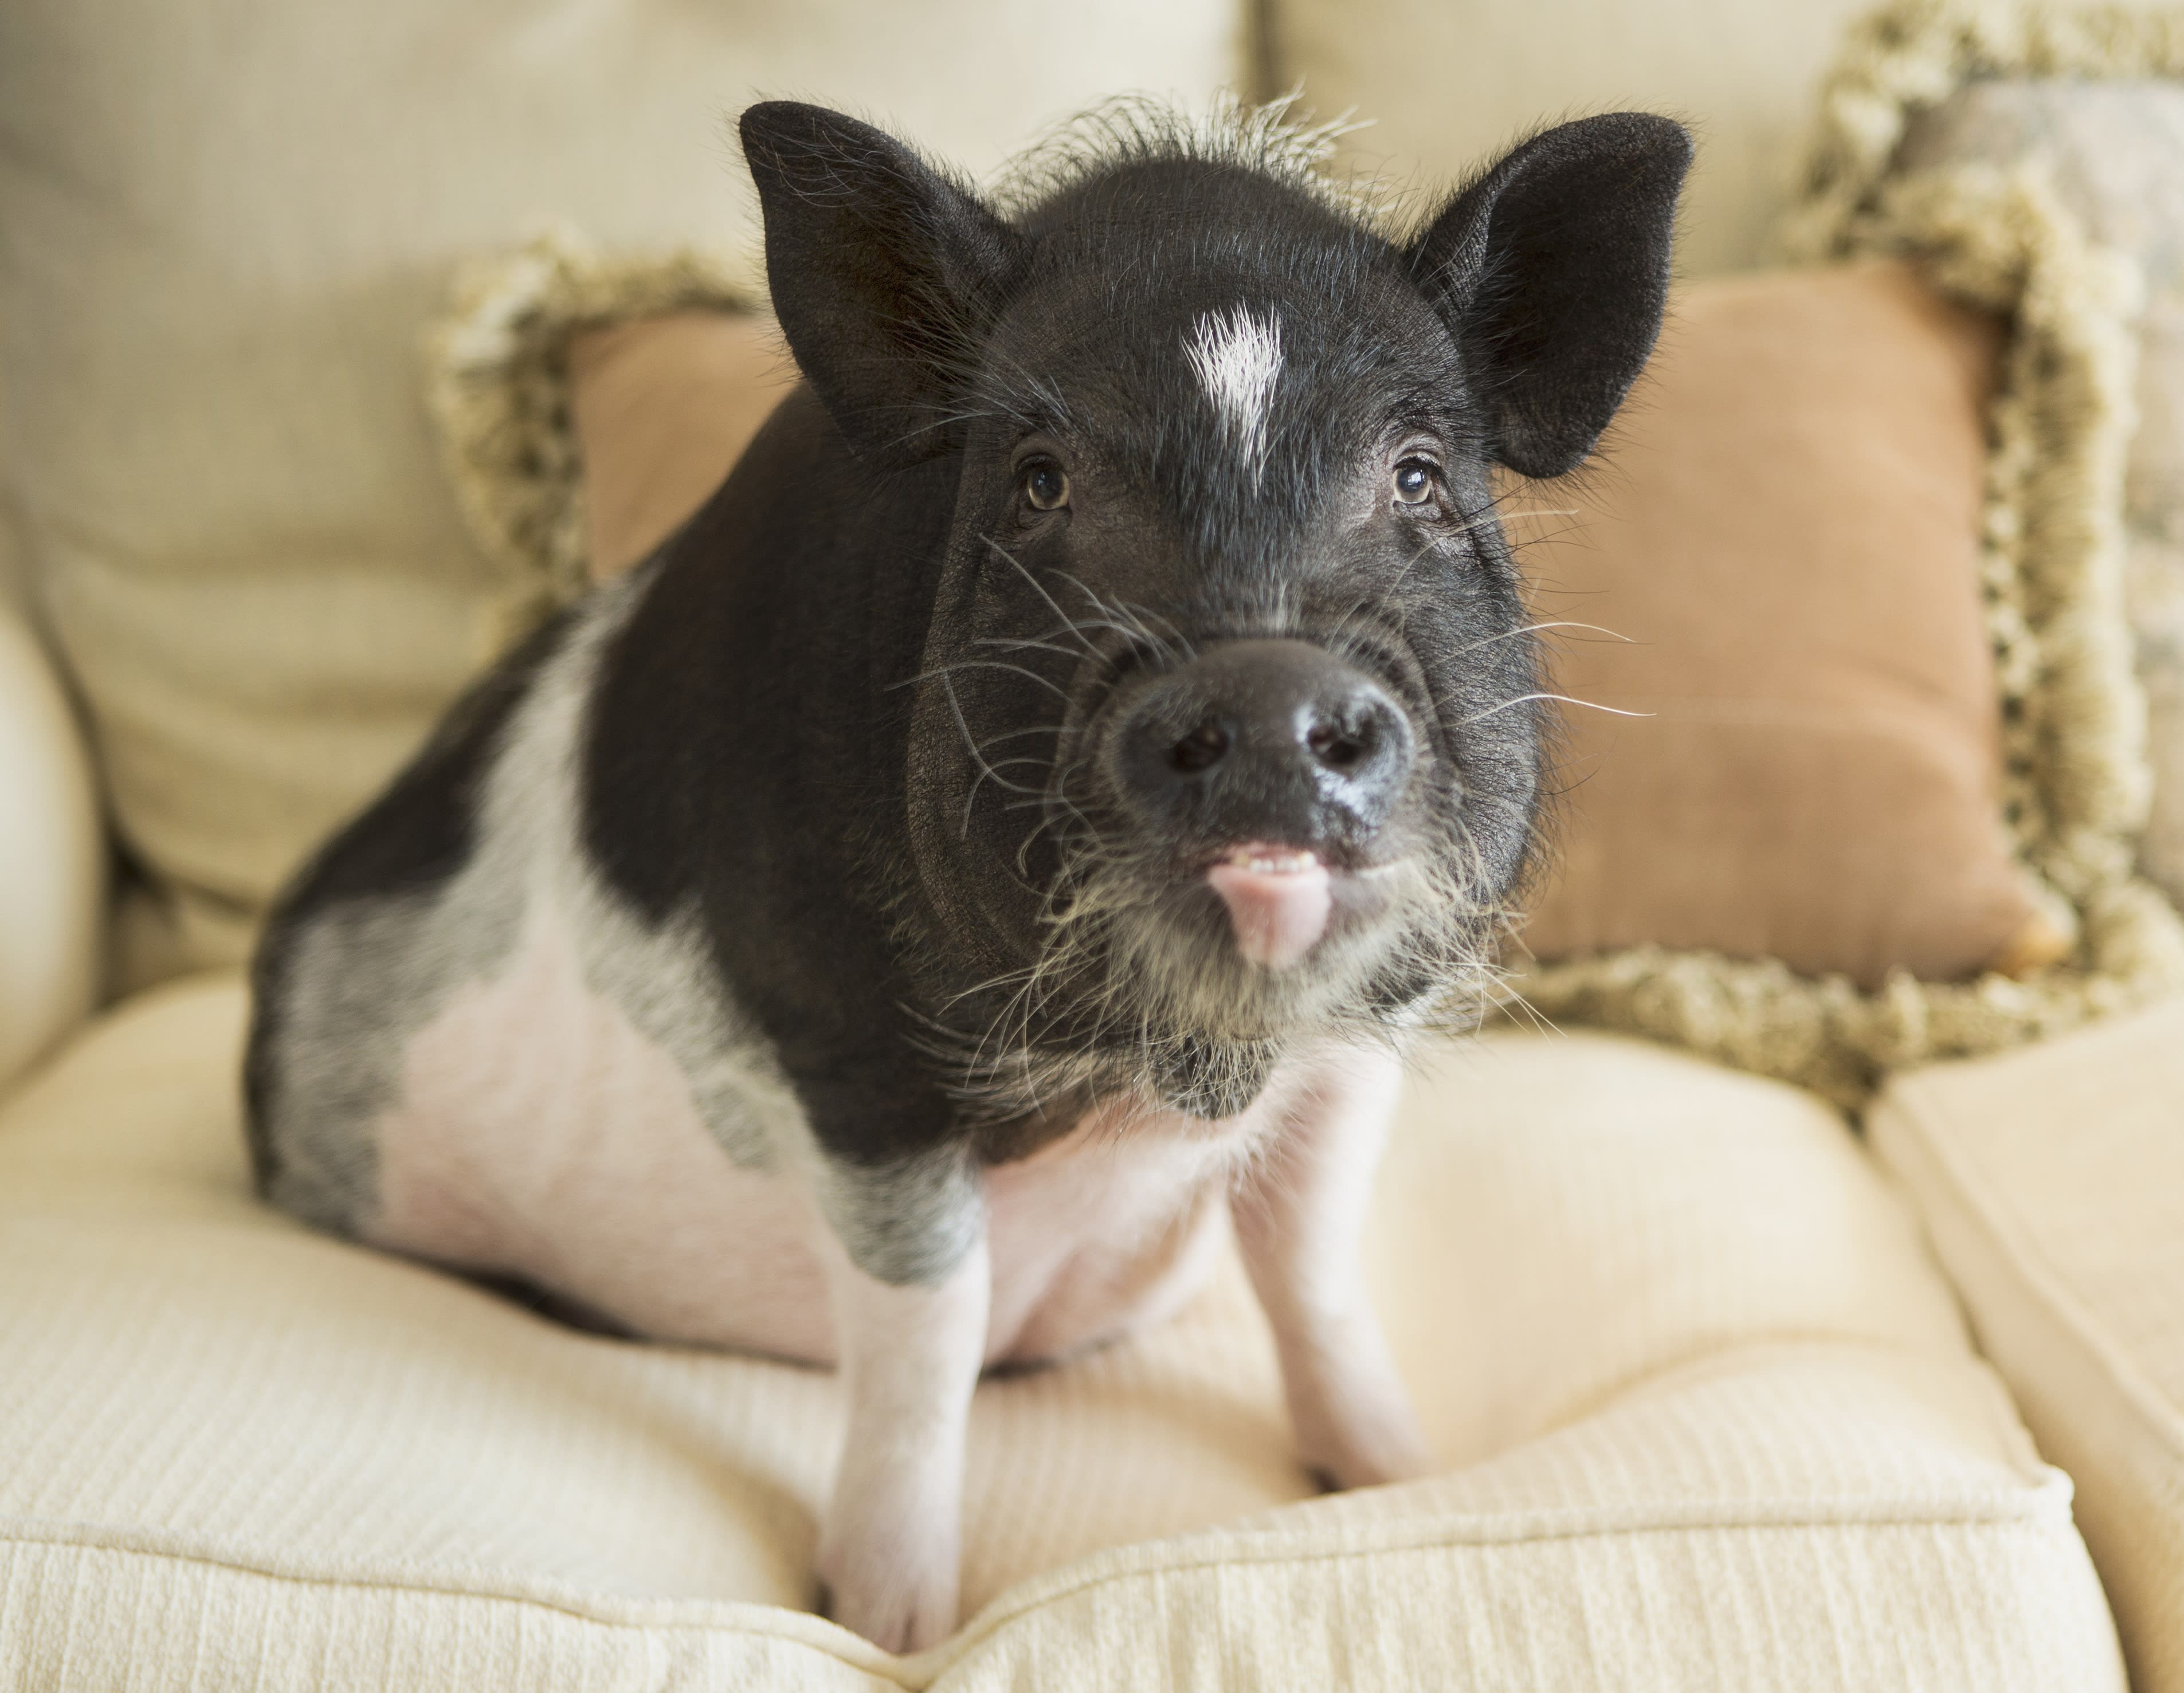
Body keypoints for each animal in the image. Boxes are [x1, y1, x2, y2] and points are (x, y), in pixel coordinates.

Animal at [244, 96, 1688, 1651]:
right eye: (1038, 479)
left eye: (1418, 474)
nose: (1263, 686)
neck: (1164, 1075)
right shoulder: (846, 1049)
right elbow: (926, 1330)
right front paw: (891, 1627)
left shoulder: (1365, 1035)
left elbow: (1310, 1266)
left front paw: (1404, 1475)